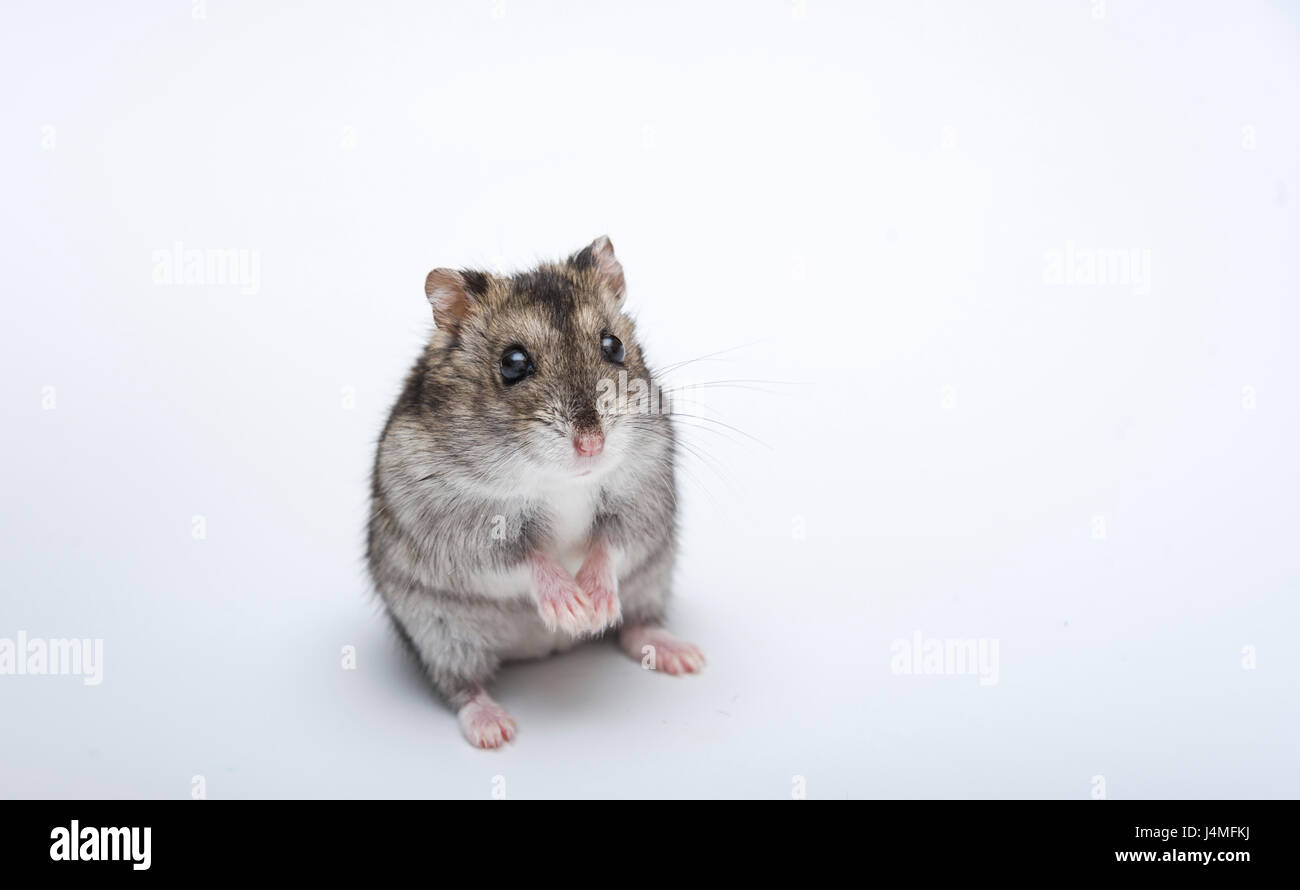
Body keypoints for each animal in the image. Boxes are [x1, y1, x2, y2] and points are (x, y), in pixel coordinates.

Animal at [367, 236, 704, 748]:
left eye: (613, 345)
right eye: (512, 364)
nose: (592, 445)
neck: (560, 481)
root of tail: (540, 650)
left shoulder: (641, 490)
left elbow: (611, 542)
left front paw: (595, 605)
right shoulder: (463, 526)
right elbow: (524, 557)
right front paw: (572, 607)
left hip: (652, 580)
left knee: (636, 627)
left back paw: (676, 654)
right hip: (438, 631)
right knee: (461, 685)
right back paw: (493, 727)